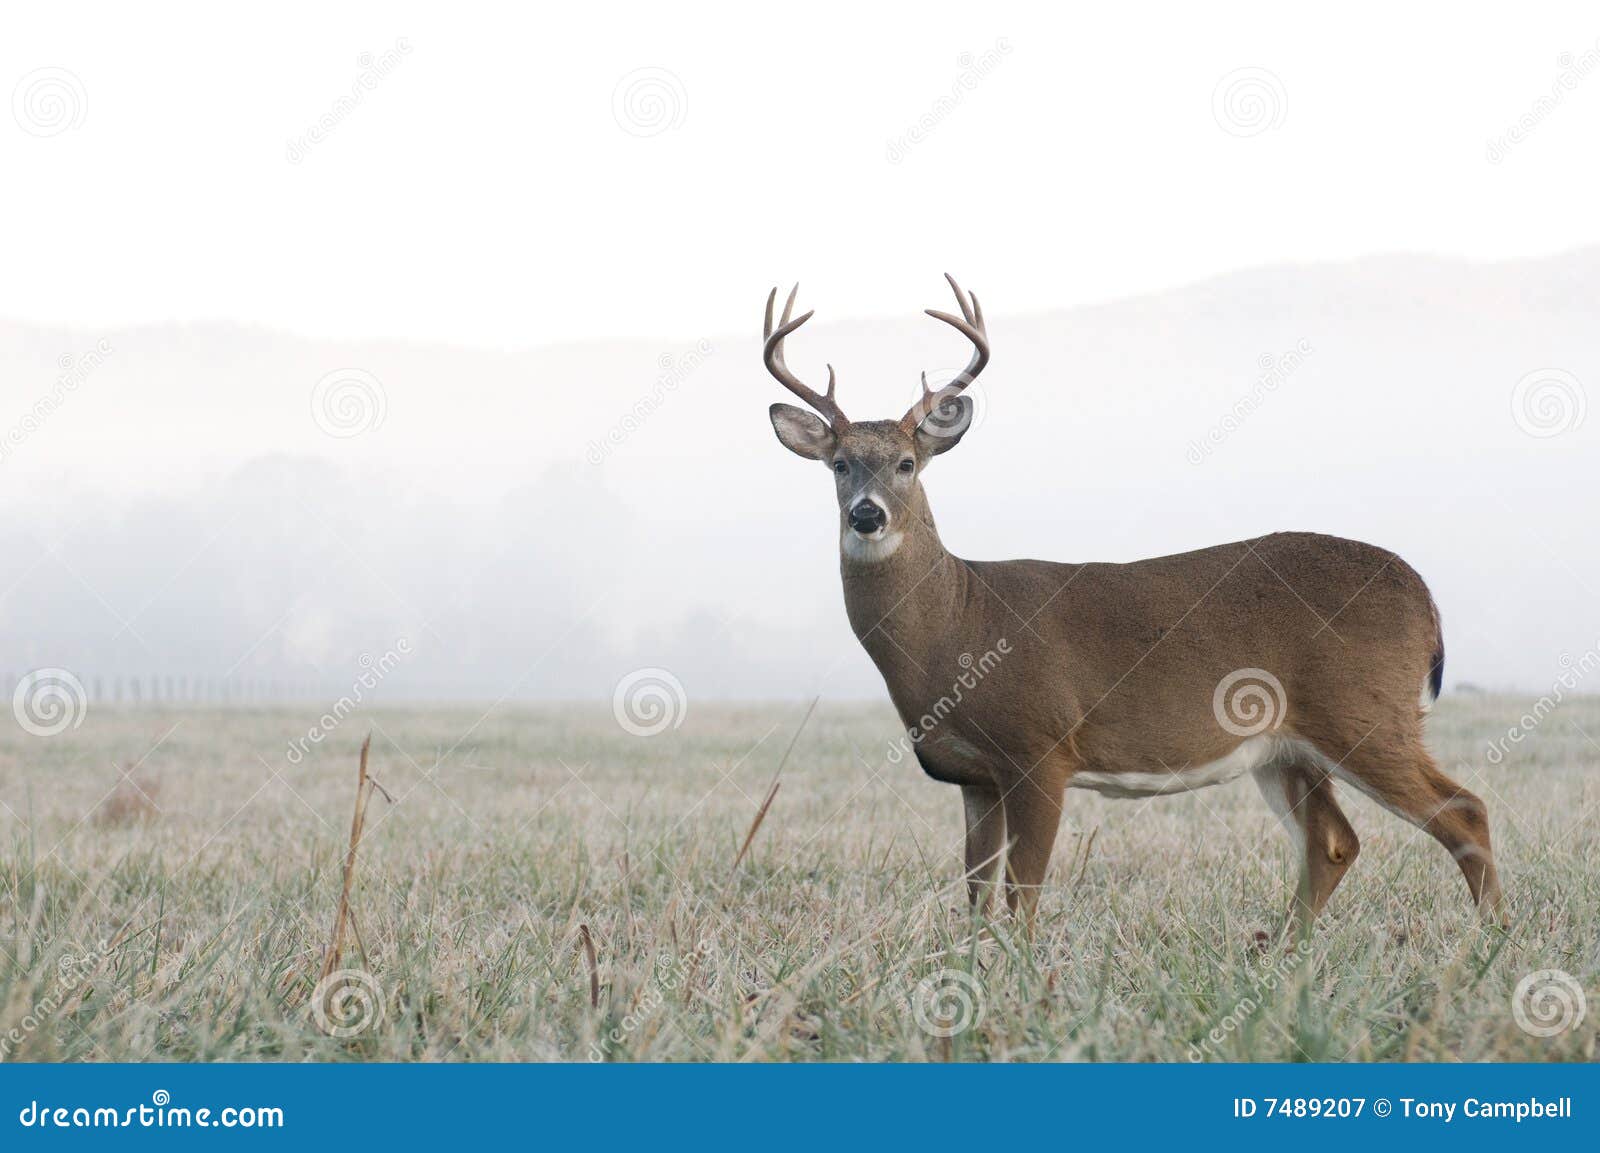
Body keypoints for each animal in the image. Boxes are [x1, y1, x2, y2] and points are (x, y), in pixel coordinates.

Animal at [762, 275, 1504, 938]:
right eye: (840, 465)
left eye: (908, 463)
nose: (867, 515)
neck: (955, 625)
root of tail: (1424, 596)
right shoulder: (975, 776)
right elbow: (975, 894)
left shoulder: (1040, 746)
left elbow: (1022, 894)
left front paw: (1019, 975)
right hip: (1286, 747)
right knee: (1334, 840)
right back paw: (1285, 953)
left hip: (1365, 712)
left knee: (1464, 809)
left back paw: (1492, 938)